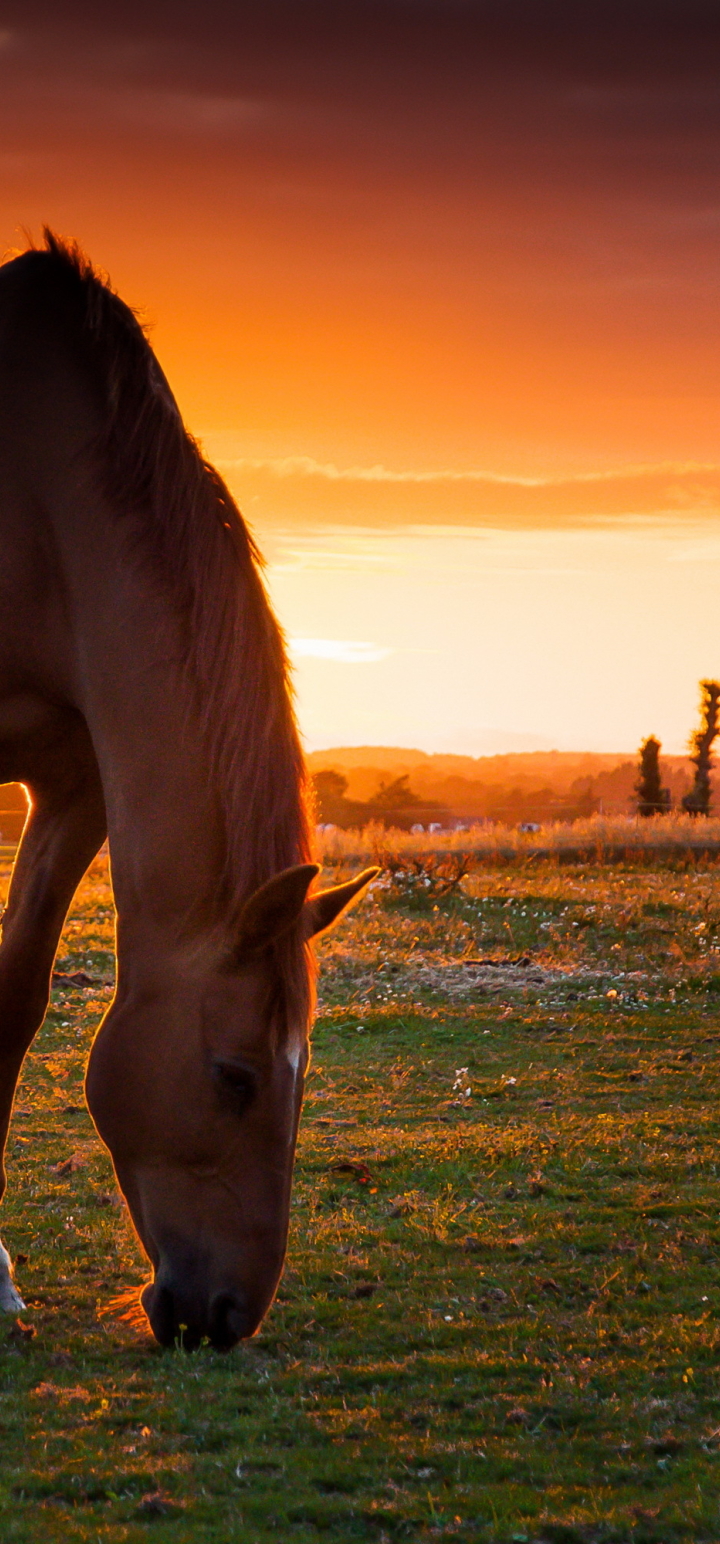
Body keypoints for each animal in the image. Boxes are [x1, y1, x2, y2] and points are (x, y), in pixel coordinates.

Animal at [0, 231, 376, 1349]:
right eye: (236, 1078)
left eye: (301, 1077)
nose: (225, 1313)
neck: (41, 509)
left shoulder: (77, 780)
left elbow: (14, 999)